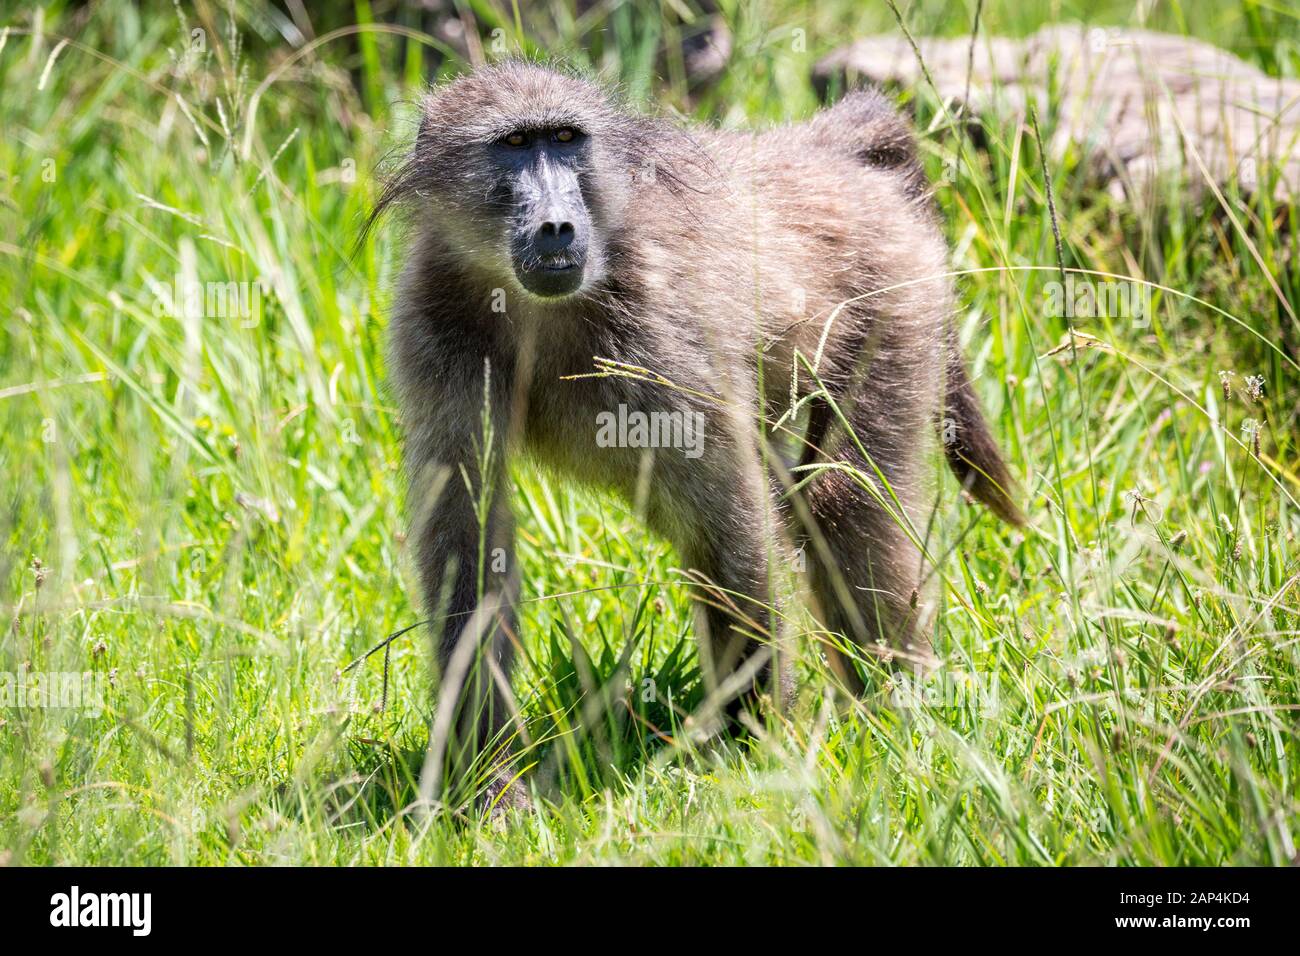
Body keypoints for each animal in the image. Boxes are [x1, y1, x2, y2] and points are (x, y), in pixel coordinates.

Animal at [367, 62, 1024, 812]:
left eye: (564, 140)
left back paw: (893, 717)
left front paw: (752, 761)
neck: (532, 308)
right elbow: (471, 544)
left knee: (839, 500)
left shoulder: (661, 331)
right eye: (514, 144)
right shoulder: (434, 322)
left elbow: (730, 530)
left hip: (894, 303)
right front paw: (488, 786)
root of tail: (819, 154)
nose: (559, 226)